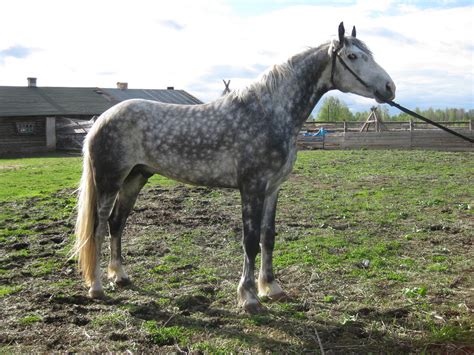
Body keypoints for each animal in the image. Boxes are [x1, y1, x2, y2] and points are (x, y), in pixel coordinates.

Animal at [73, 22, 392, 312]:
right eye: (352, 56)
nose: (390, 88)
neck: (269, 113)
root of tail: (100, 121)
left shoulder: (272, 189)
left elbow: (268, 237)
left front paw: (271, 288)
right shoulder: (252, 188)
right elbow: (250, 240)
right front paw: (249, 297)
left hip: (136, 177)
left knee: (117, 223)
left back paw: (121, 277)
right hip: (109, 181)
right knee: (99, 228)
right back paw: (97, 287)